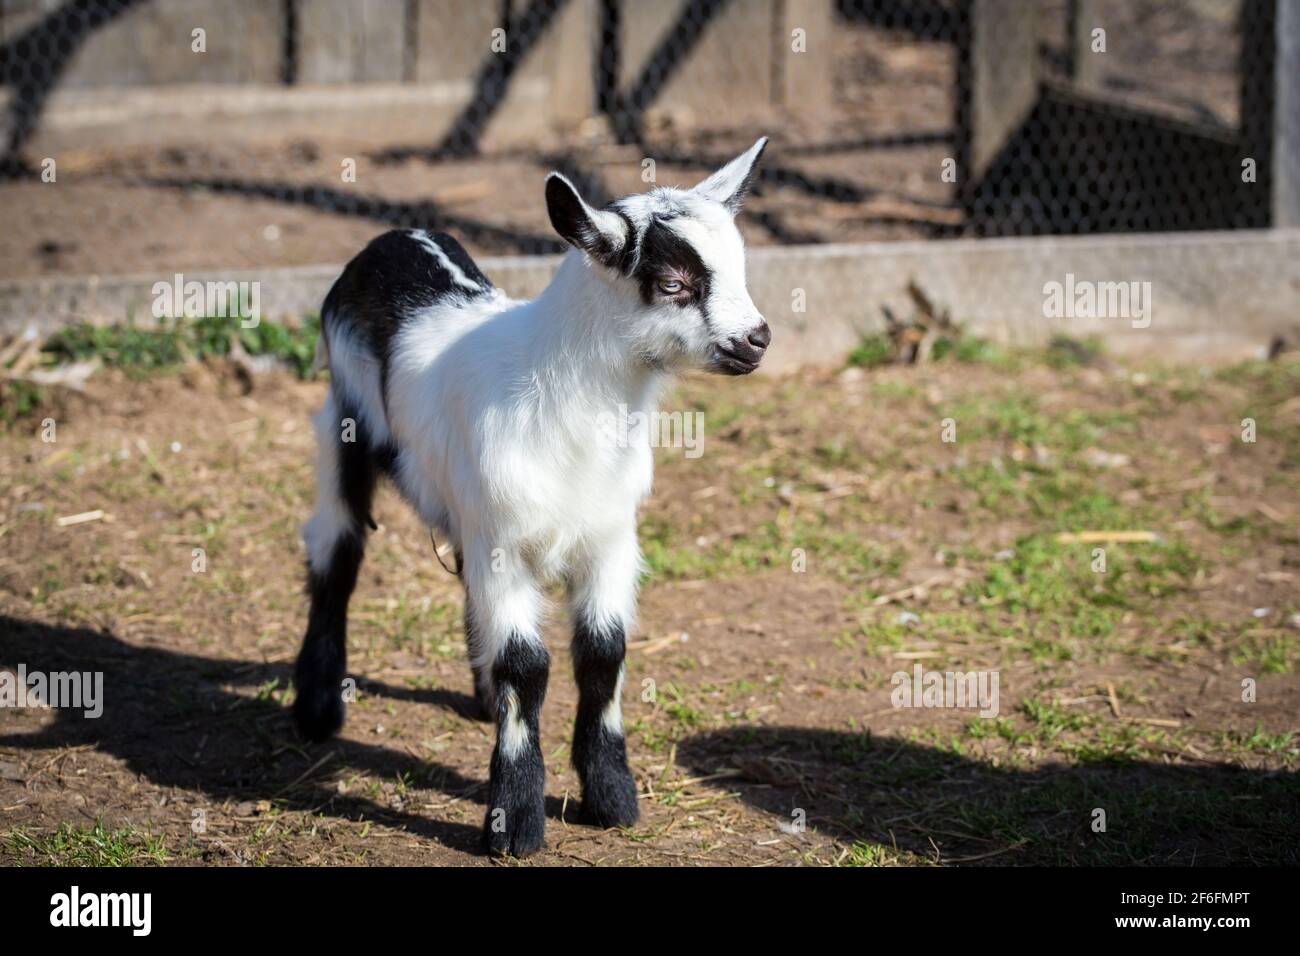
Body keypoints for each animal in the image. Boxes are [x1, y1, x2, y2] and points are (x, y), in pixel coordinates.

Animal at [293, 138, 771, 856]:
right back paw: (317, 708)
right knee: (336, 550)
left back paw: (476, 694)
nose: (756, 338)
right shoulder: (505, 546)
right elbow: (527, 665)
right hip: (340, 425)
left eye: (738, 267)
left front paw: (611, 797)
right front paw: (515, 820)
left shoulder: (609, 537)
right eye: (672, 283)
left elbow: (603, 652)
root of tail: (392, 238)